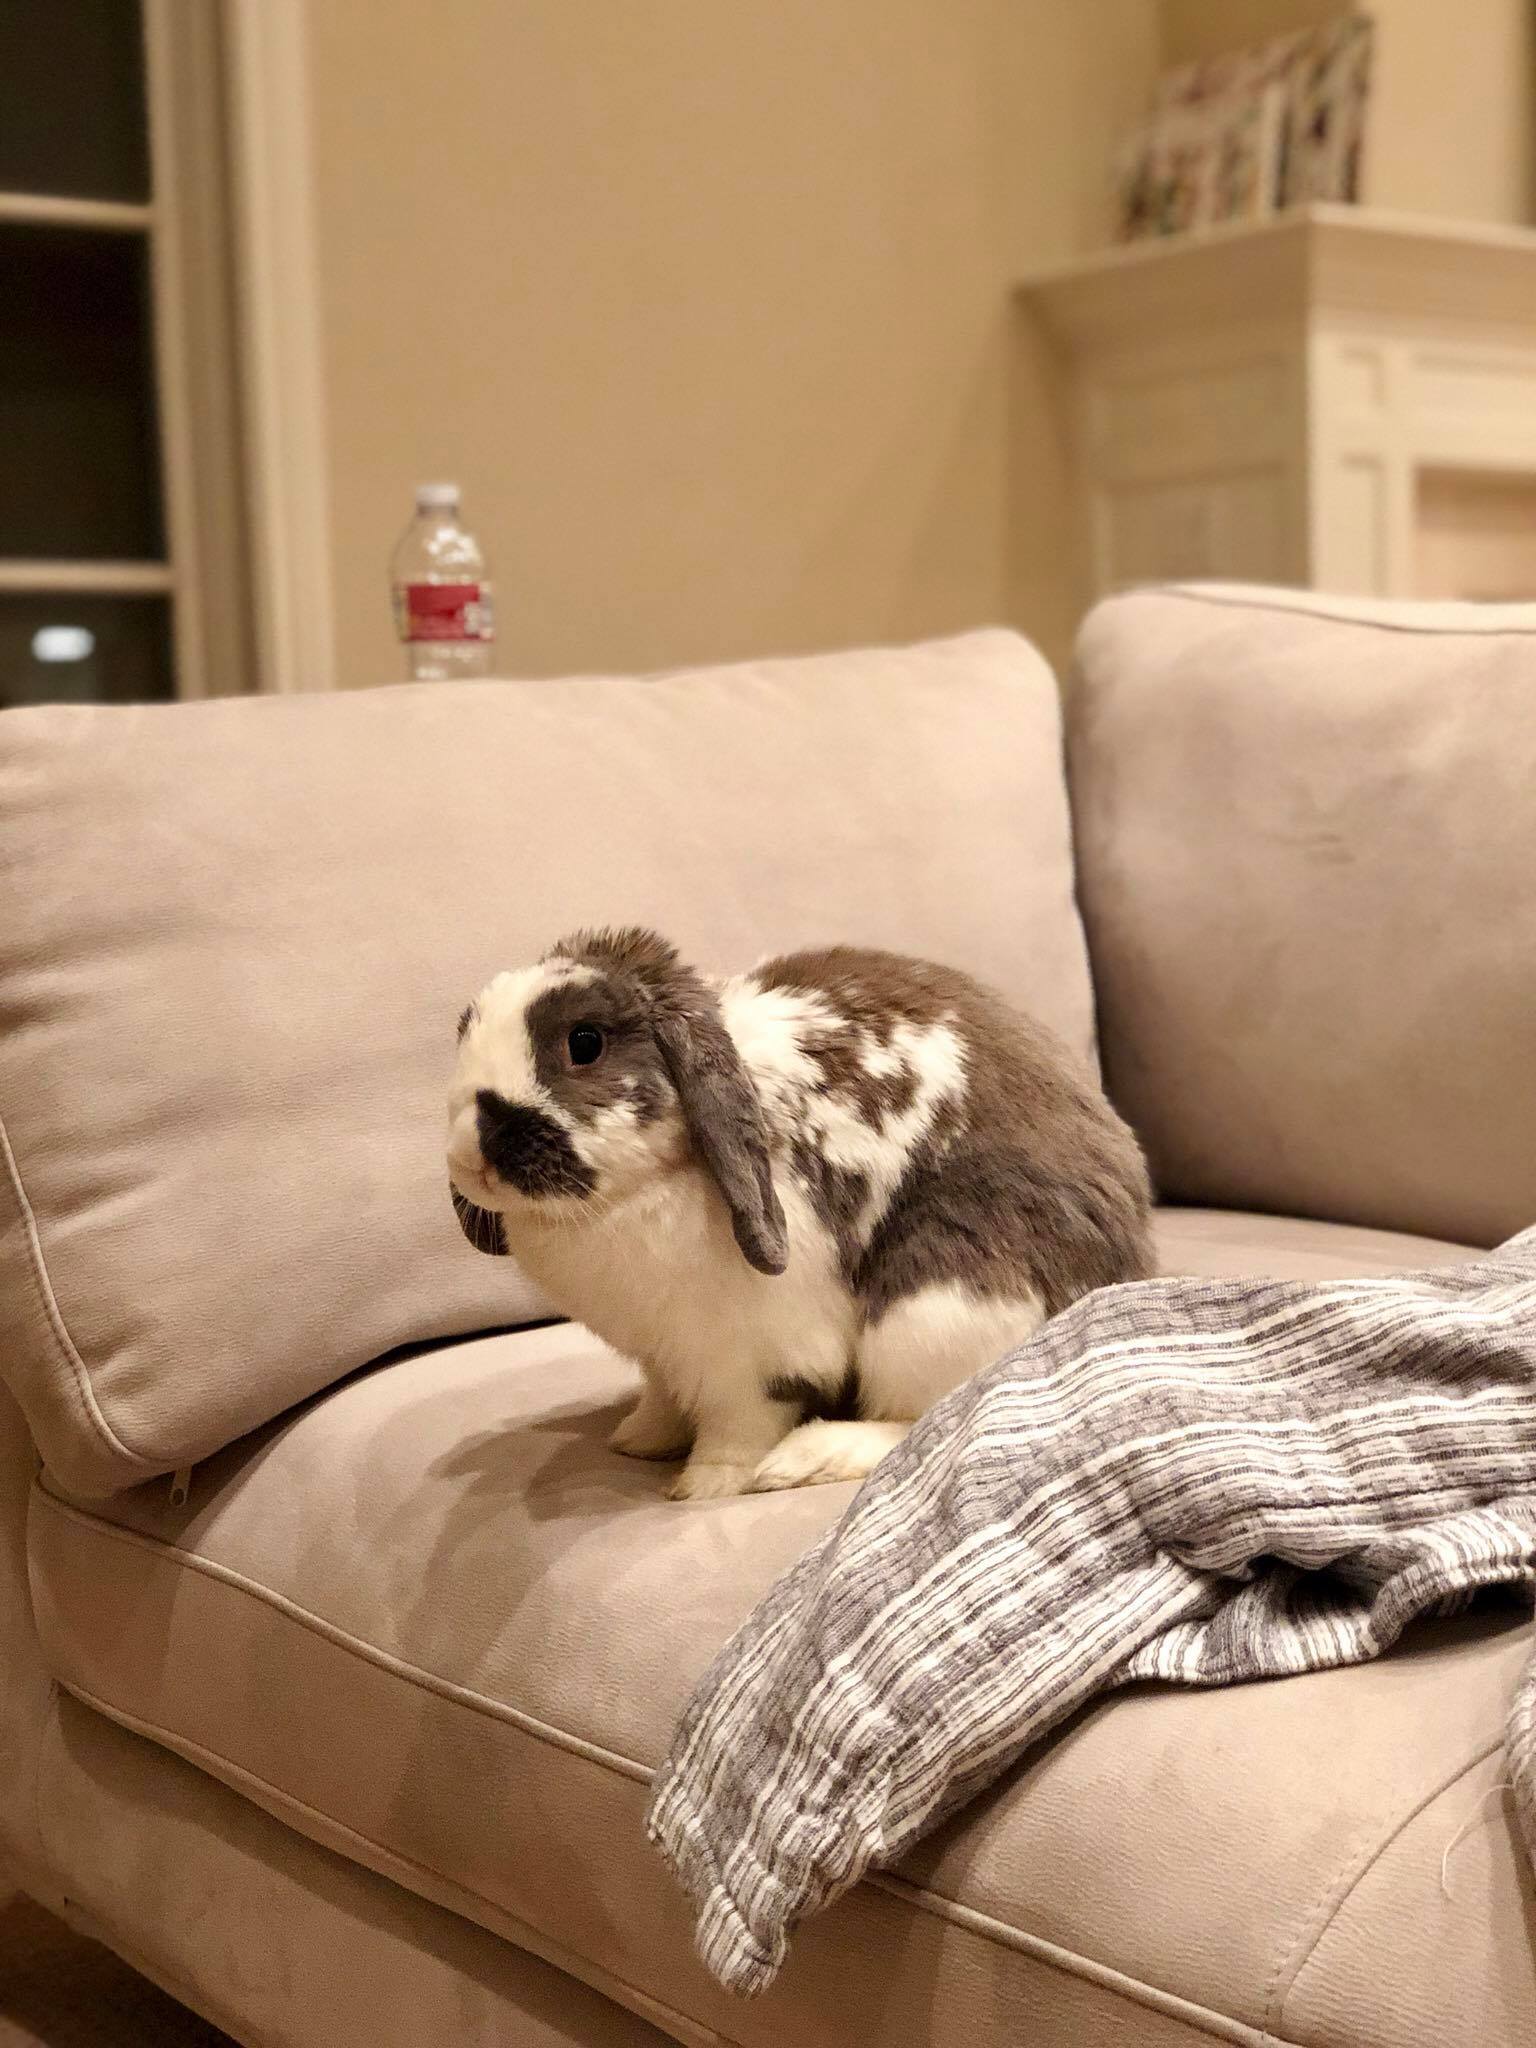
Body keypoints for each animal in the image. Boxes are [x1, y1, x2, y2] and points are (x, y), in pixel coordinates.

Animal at [446, 926, 1153, 1500]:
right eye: (465, 1028)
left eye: (585, 1042)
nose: (472, 1153)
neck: (635, 1191)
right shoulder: (662, 1355)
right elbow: (664, 1399)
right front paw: (639, 1440)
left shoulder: (755, 1358)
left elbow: (741, 1424)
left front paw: (705, 1486)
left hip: (935, 1306)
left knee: (928, 1417)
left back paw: (804, 1460)